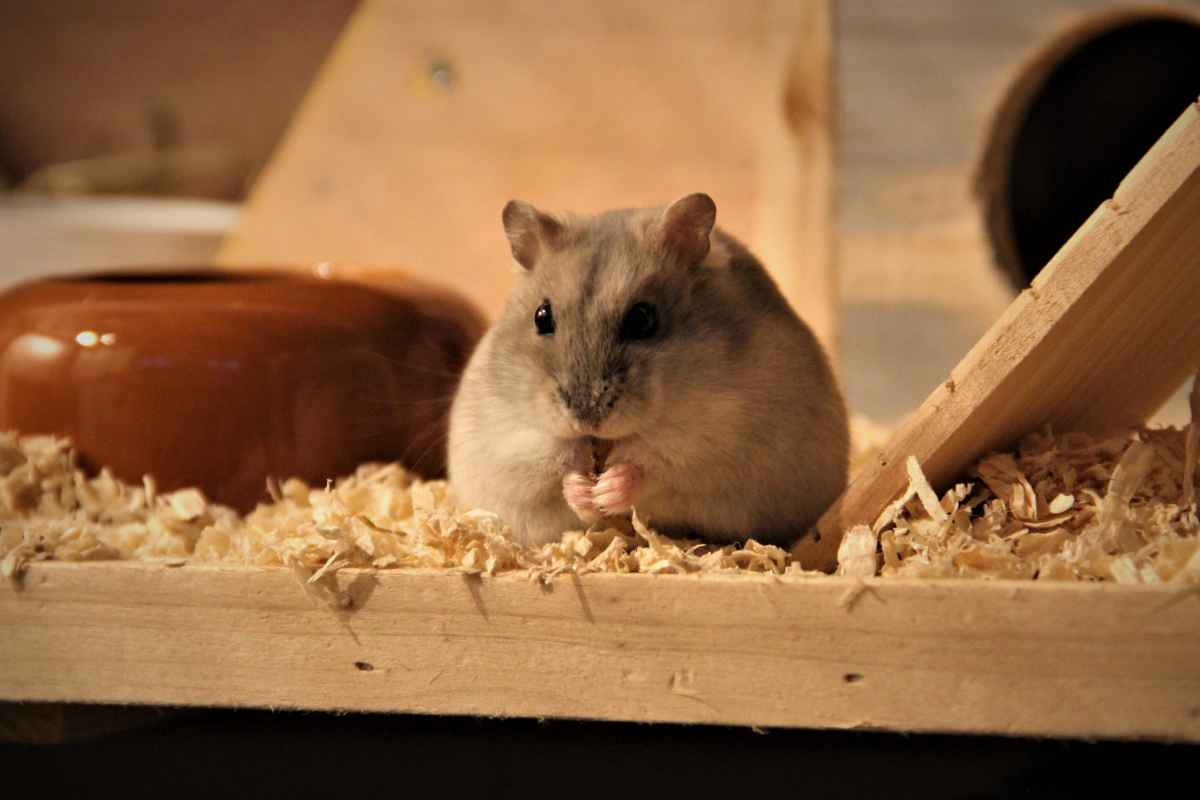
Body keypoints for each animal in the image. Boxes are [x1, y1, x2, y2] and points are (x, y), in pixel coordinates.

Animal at [447, 193, 849, 546]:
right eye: (541, 316)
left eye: (643, 318)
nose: (586, 417)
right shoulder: (504, 440)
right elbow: (552, 468)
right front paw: (585, 490)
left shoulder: (718, 440)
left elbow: (653, 465)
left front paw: (607, 491)